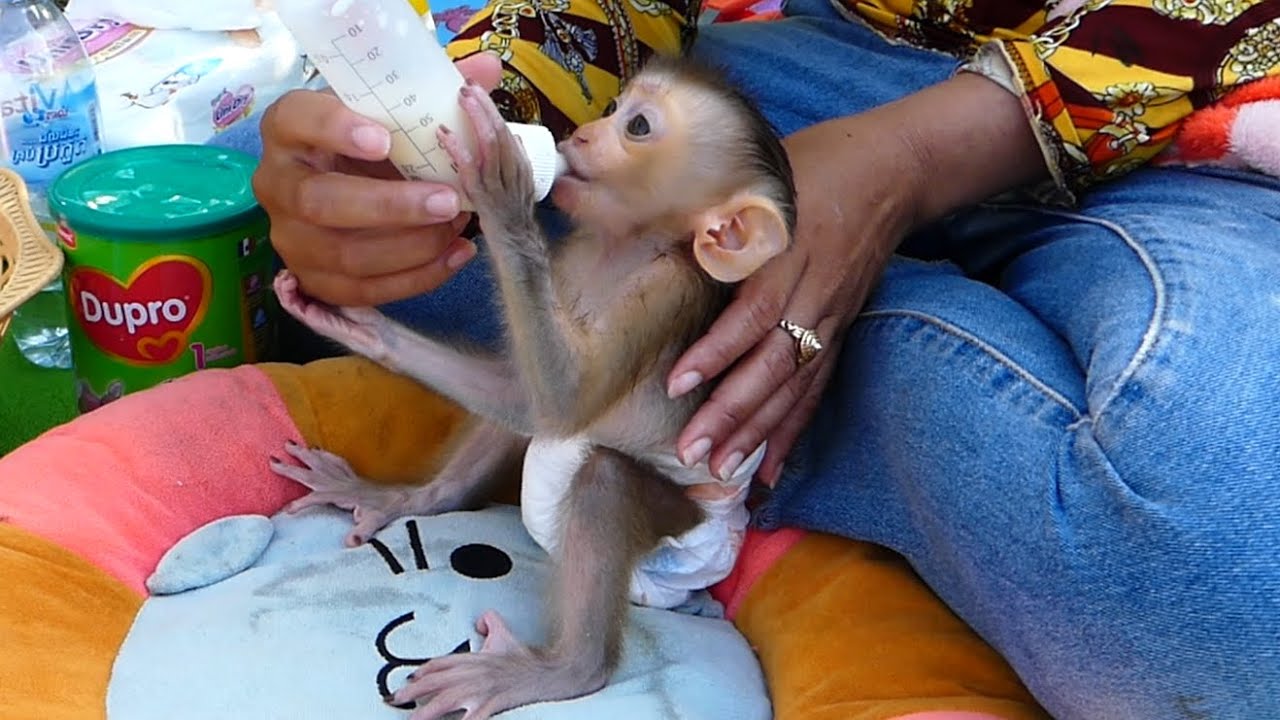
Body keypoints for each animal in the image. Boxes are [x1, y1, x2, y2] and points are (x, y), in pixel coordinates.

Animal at [268, 54, 798, 720]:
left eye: (638, 126)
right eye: (612, 107)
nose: (581, 136)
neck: (620, 249)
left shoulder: (668, 294)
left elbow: (565, 403)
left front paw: (501, 186)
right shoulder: (570, 261)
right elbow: (521, 397)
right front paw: (357, 325)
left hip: (688, 541)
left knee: (604, 477)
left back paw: (557, 671)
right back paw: (414, 499)